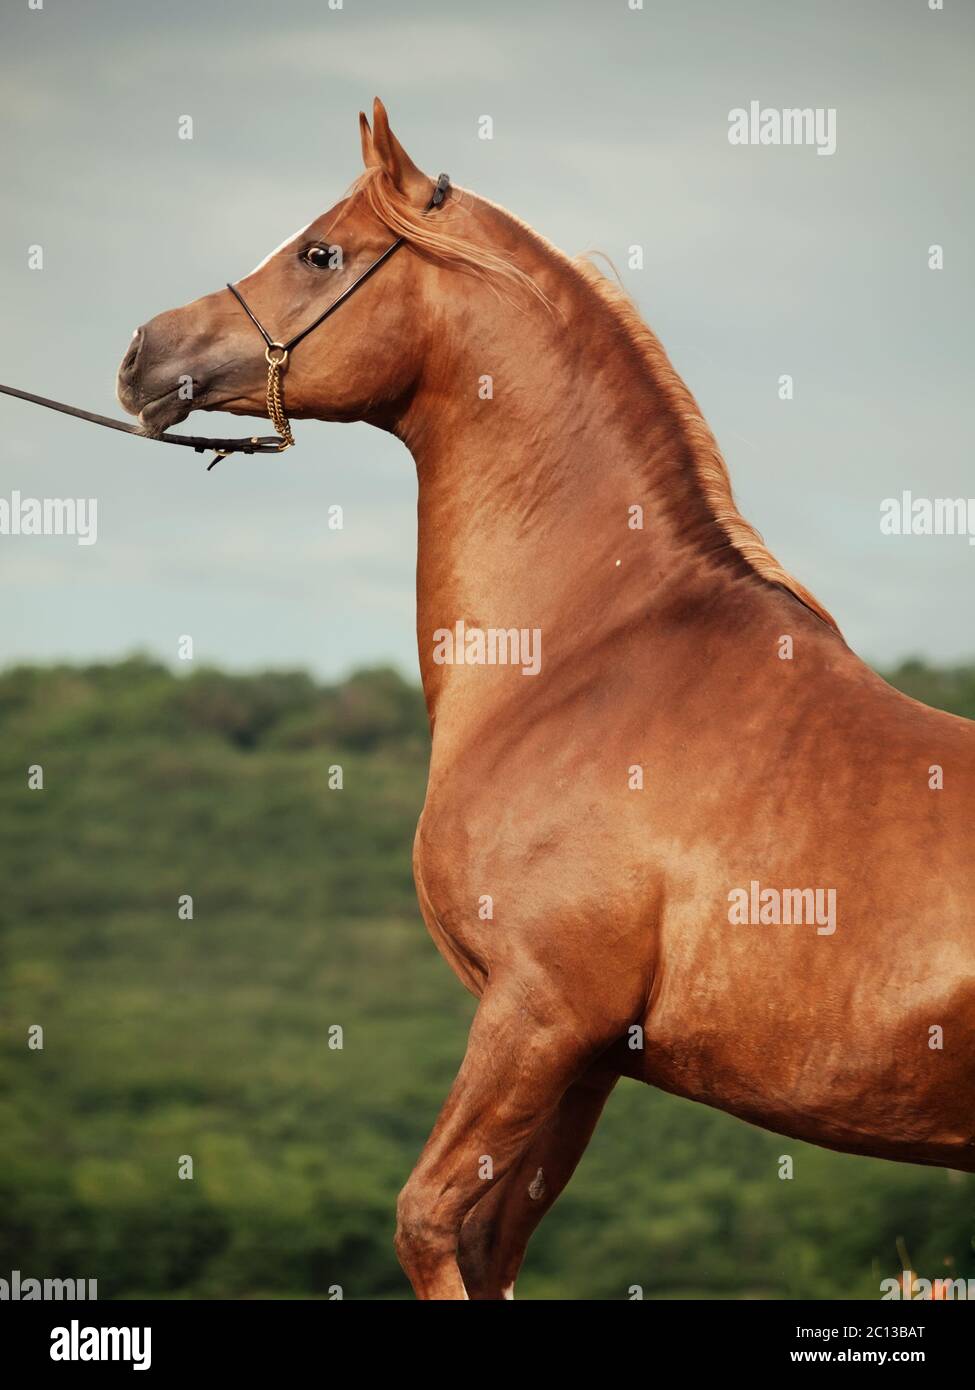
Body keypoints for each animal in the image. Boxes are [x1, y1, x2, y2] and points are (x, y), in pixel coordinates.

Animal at [117, 99, 975, 1300]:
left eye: (319, 253)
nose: (143, 355)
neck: (588, 653)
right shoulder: (588, 1056)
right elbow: (490, 1242)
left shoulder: (539, 1013)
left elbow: (426, 1221)